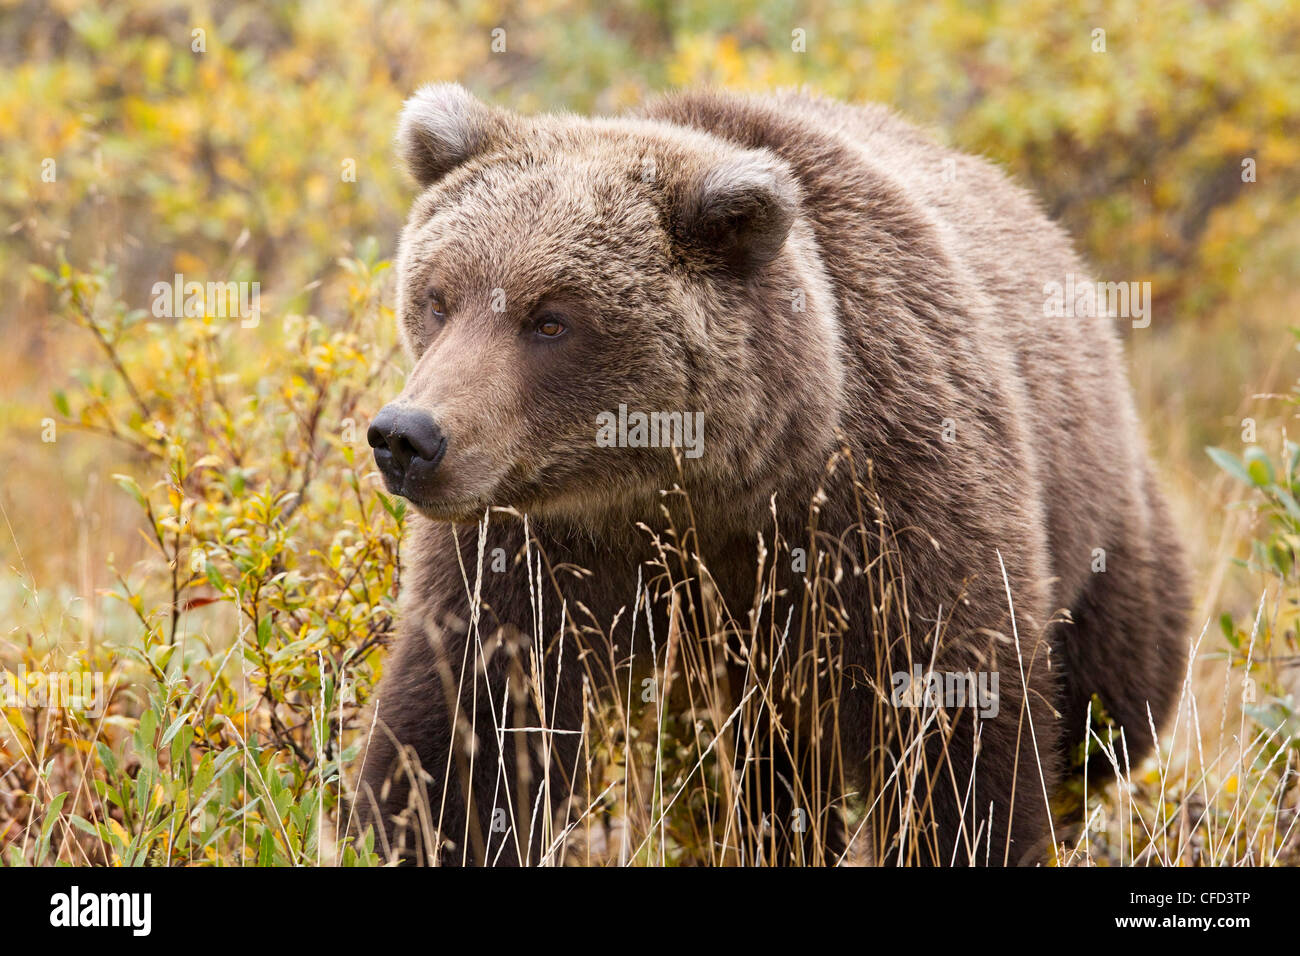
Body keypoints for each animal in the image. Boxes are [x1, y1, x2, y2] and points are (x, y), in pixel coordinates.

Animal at [355, 83, 1190, 866]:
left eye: (551, 318)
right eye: (438, 296)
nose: (408, 436)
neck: (697, 491)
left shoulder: (890, 508)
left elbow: (955, 730)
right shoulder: (536, 545)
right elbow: (468, 728)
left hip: (1105, 529)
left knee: (1115, 703)